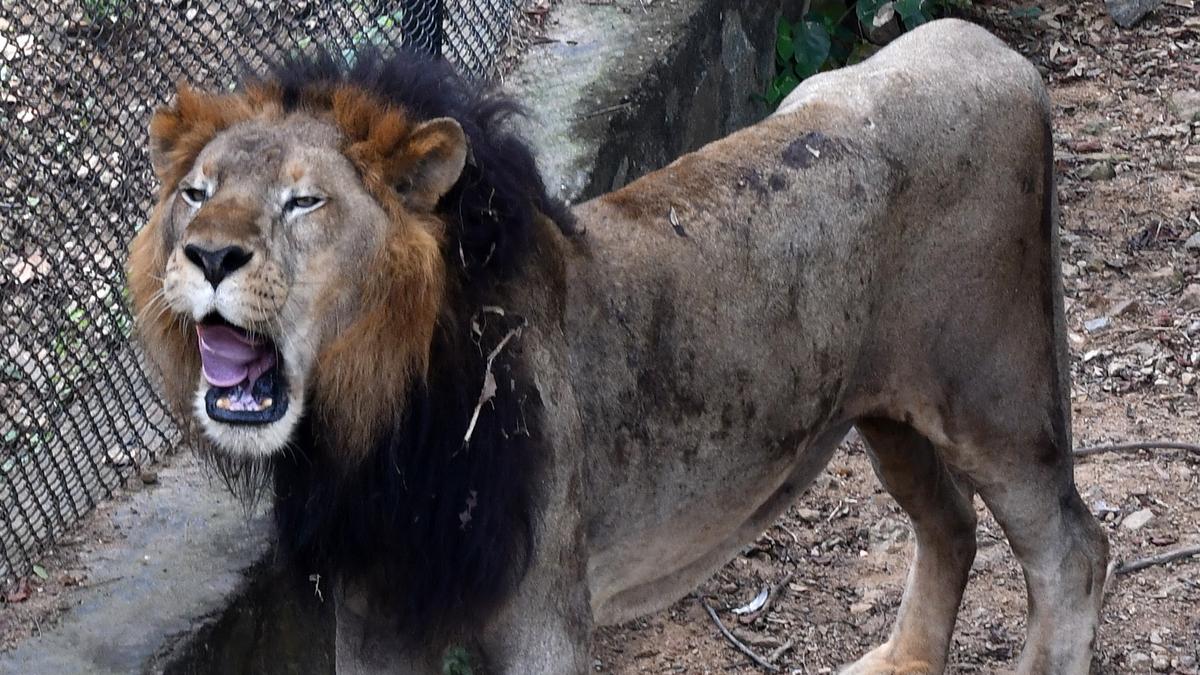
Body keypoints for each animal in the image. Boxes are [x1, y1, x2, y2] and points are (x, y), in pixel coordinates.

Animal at [128, 19, 1108, 675]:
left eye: (305, 202)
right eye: (195, 192)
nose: (208, 255)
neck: (378, 420)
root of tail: (996, 51)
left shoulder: (546, 619)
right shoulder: (376, 614)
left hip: (998, 400)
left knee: (1072, 552)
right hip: (887, 410)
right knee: (949, 522)